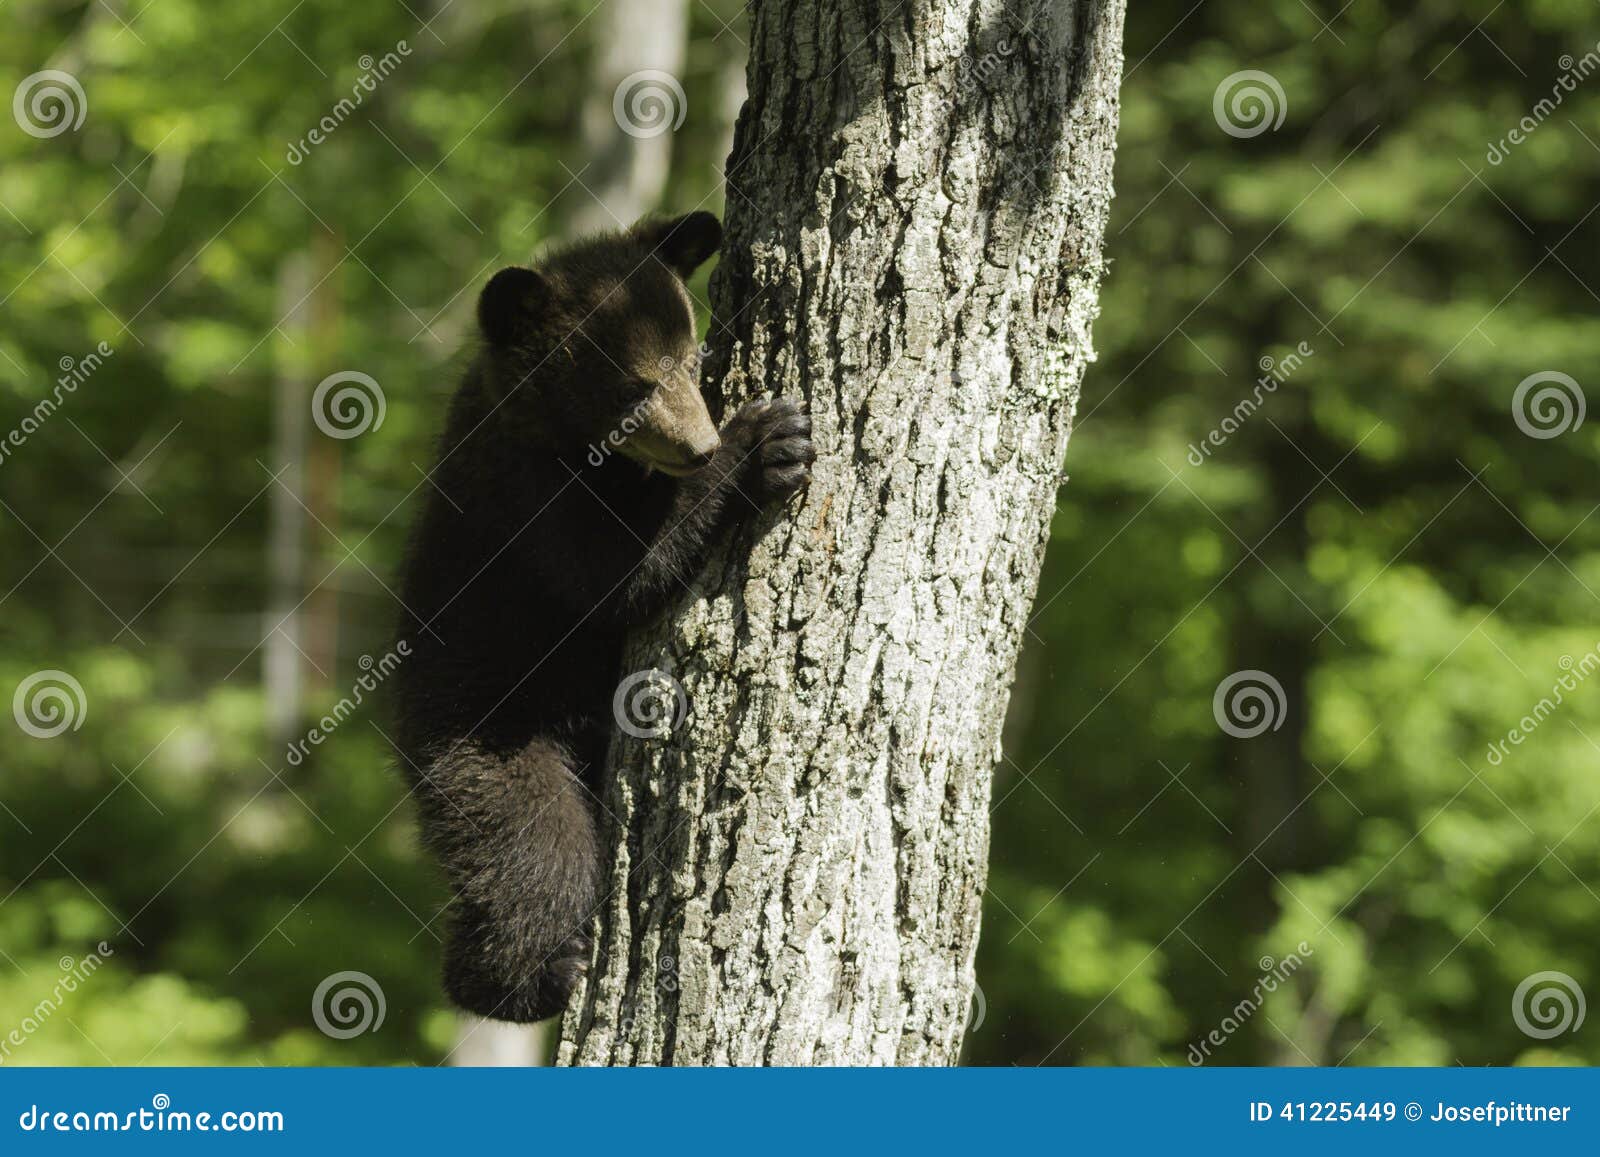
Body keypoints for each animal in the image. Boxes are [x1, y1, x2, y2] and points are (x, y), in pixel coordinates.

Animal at [391, 211, 814, 1023]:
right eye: (634, 385)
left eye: (688, 356)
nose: (699, 446)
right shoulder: (526, 499)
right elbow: (617, 575)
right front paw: (765, 444)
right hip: (483, 734)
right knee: (535, 852)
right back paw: (532, 978)